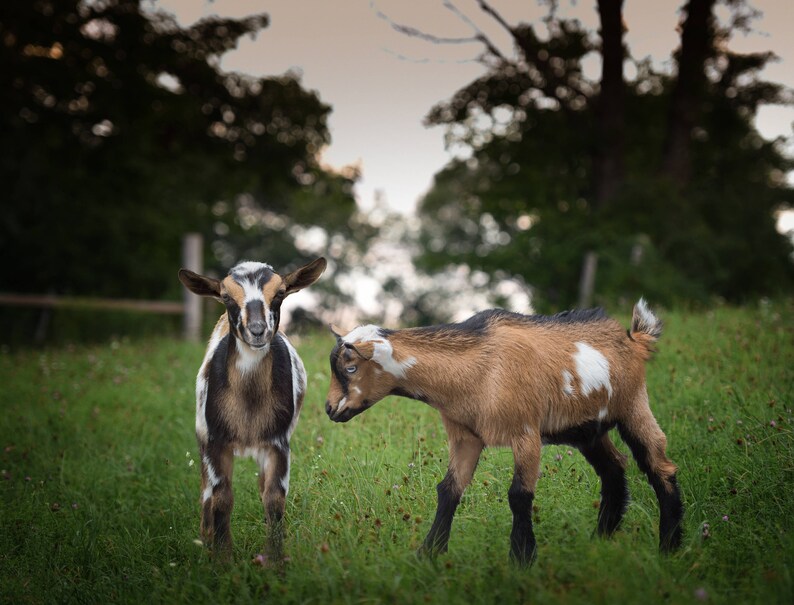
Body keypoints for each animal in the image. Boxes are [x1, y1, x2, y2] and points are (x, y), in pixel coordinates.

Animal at [178, 257, 326, 560]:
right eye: (226, 296)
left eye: (280, 293)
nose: (257, 330)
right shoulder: (216, 441)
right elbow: (221, 498)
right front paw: (222, 559)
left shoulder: (278, 442)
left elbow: (274, 498)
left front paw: (274, 559)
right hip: (201, 435)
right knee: (205, 490)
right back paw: (204, 537)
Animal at [325, 300, 683, 565]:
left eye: (351, 368)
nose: (330, 409)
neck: (477, 370)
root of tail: (635, 339)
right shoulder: (466, 436)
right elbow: (449, 489)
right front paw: (428, 555)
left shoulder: (526, 432)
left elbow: (519, 495)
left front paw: (522, 560)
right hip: (587, 430)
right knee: (614, 467)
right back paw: (601, 540)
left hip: (633, 405)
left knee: (660, 465)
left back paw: (670, 548)